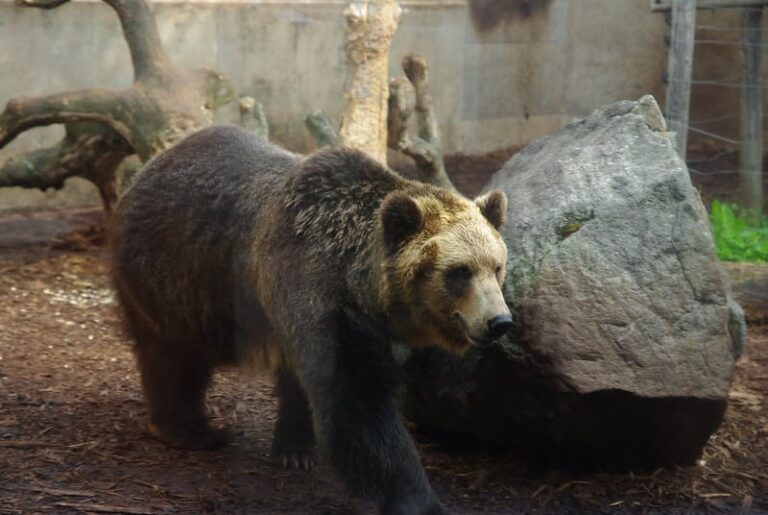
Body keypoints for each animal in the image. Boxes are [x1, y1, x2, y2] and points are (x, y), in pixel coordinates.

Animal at [110, 125, 512, 514]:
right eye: (459, 271)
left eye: (496, 266)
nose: (499, 321)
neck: (361, 284)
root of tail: (150, 167)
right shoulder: (316, 291)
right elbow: (356, 402)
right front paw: (417, 496)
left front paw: (296, 449)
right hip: (175, 275)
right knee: (174, 356)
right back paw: (189, 429)